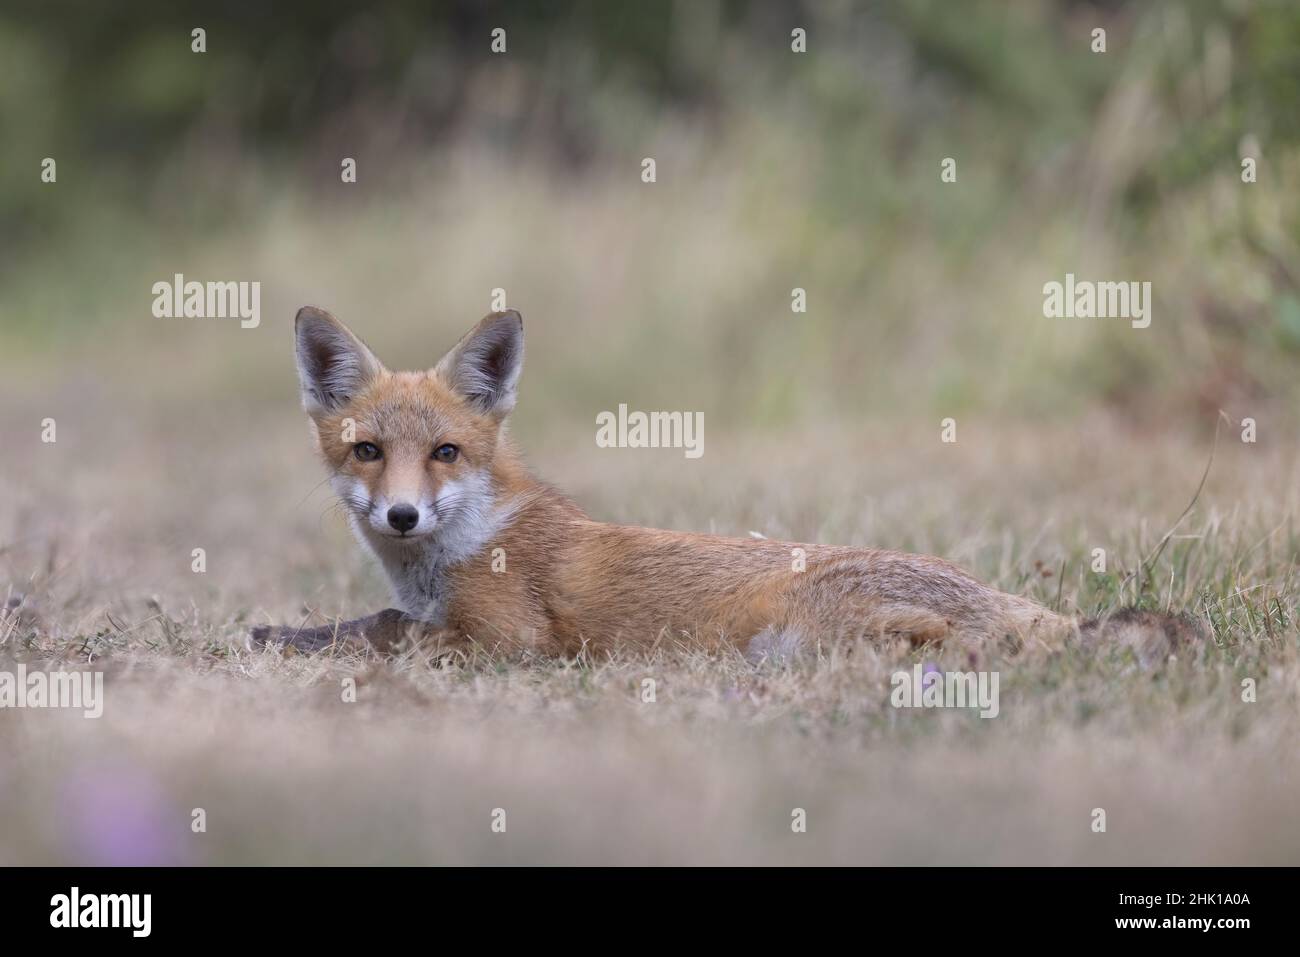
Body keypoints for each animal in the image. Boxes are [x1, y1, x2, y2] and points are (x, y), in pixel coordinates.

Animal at [249, 307, 1203, 662]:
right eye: (369, 451)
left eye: (445, 451)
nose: (403, 513)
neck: (453, 553)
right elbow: (372, 619)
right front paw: (284, 631)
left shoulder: (510, 640)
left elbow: (380, 628)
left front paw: (291, 638)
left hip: (797, 624)